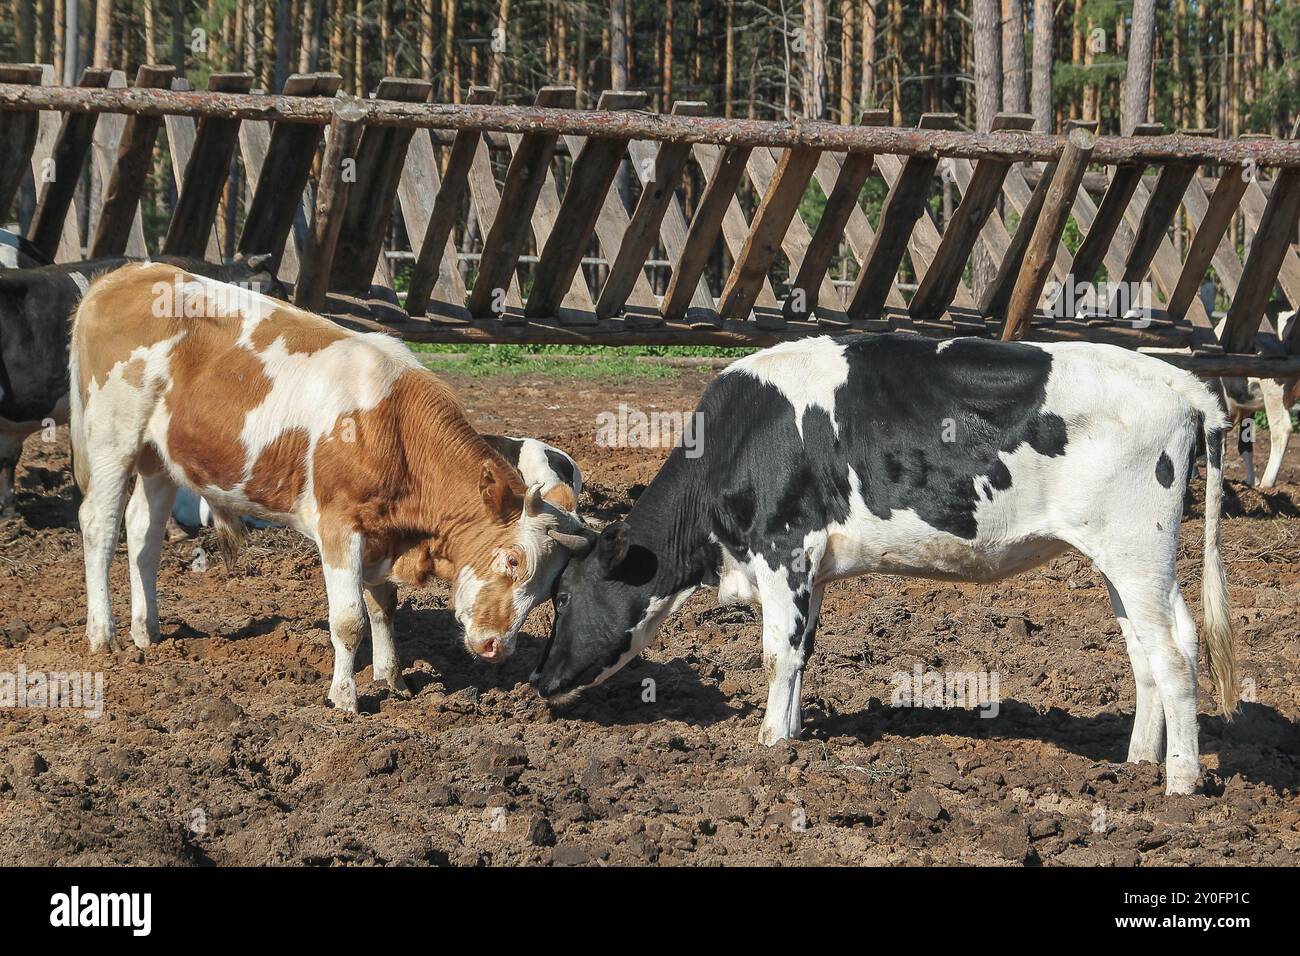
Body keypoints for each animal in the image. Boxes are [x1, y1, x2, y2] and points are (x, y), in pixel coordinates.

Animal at [69, 262, 586, 712]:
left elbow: (384, 608)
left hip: (158, 455)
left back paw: (147, 632)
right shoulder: (340, 526)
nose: (498, 647)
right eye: (513, 559)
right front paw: (345, 698)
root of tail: (125, 274)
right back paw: (103, 635)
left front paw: (392, 680)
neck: (395, 429)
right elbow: (350, 619)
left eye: (547, 589)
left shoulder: (382, 534)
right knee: (99, 525)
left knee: (143, 533)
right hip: (112, 436)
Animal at [532, 333, 1238, 796]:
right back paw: (1138, 762)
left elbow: (776, 655)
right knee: (1153, 649)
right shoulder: (810, 567)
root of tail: (1178, 382)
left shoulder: (782, 546)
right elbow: (803, 651)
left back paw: (1179, 784)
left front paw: (769, 747)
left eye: (563, 596)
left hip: (1137, 550)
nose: (538, 681)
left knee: (1173, 655)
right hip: (1126, 564)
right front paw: (793, 736)